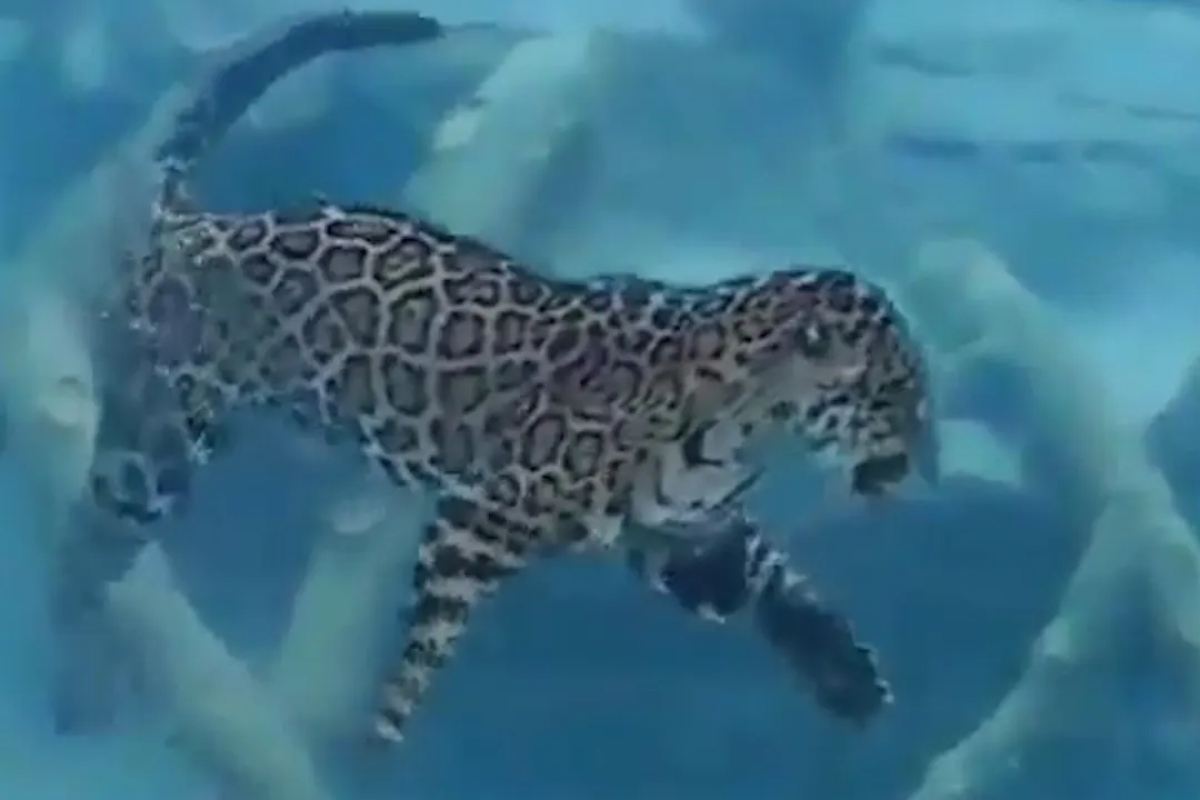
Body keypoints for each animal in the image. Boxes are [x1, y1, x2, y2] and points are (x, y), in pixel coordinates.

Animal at [85, 8, 935, 746]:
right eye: (895, 396)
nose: (920, 466)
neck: (747, 428)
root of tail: (194, 222)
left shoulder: (690, 527)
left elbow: (767, 574)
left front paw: (839, 671)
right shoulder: (477, 516)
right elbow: (428, 638)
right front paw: (379, 738)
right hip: (157, 445)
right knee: (105, 512)